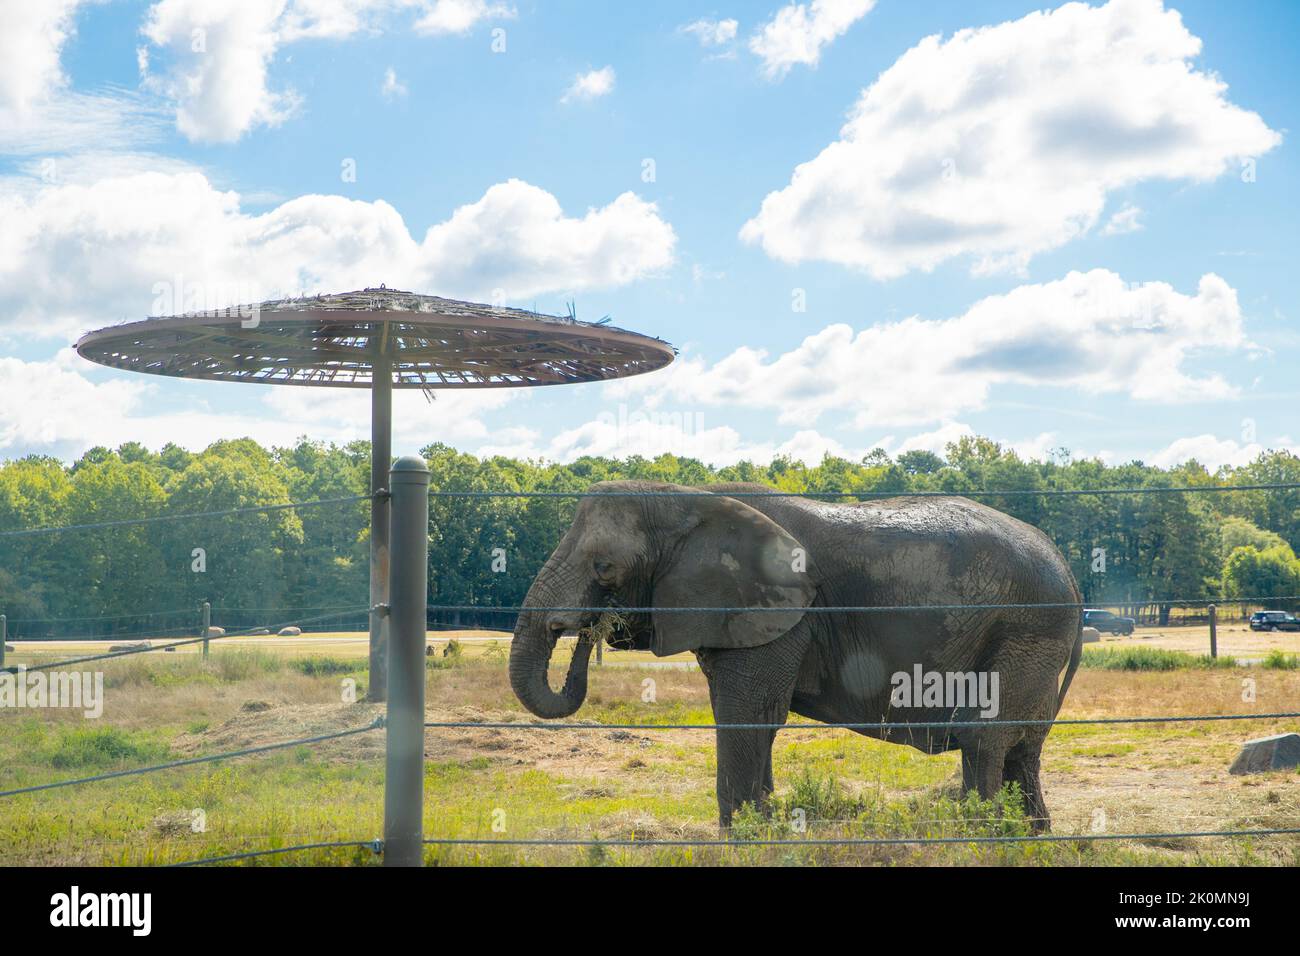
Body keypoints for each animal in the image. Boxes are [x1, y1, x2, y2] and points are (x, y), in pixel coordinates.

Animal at [509, 481, 1083, 830]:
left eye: (604, 568)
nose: (584, 629)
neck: (687, 501)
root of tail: (1068, 569)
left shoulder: (780, 609)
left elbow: (747, 714)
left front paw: (741, 839)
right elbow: (758, 719)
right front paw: (762, 831)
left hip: (1027, 628)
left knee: (984, 736)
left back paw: (984, 835)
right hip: (1033, 638)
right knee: (1022, 745)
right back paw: (1030, 838)